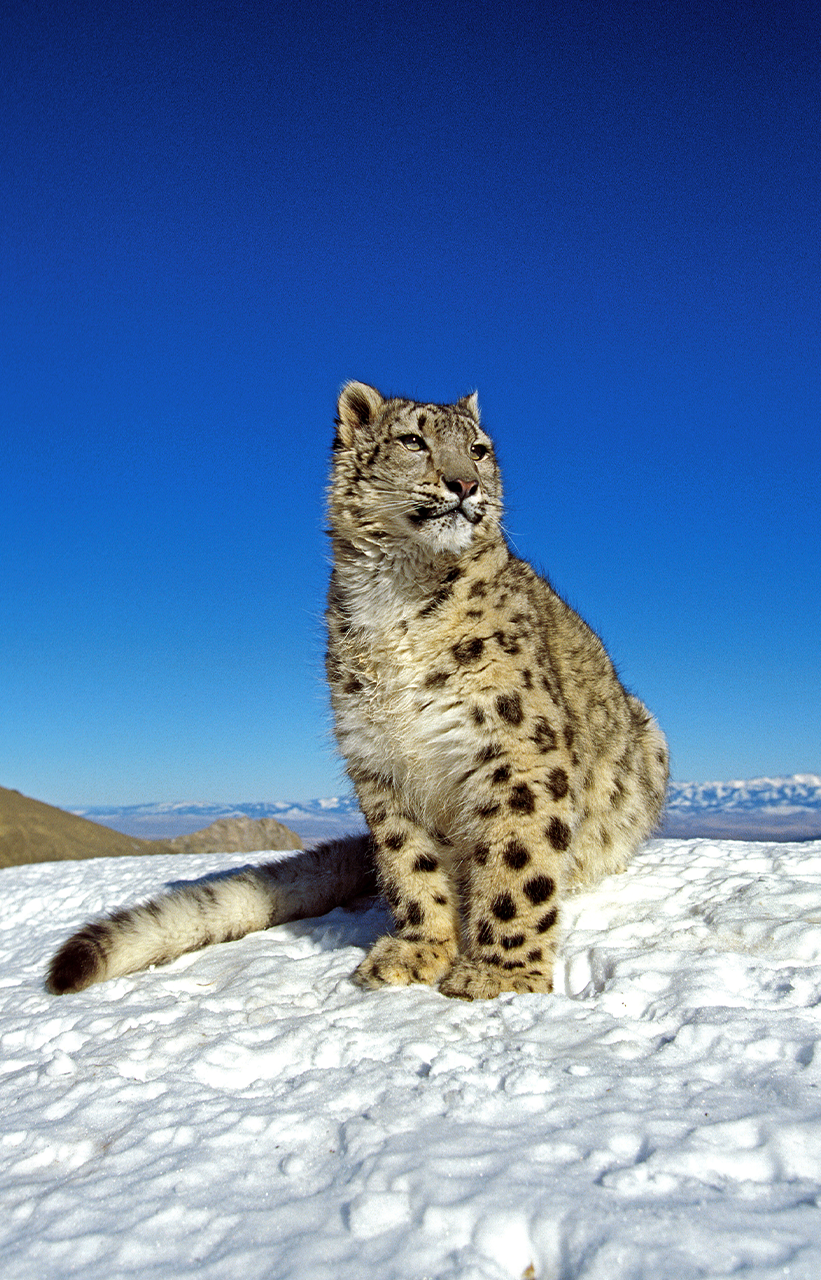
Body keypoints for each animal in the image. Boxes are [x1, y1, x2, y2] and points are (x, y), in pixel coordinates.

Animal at [46, 381, 668, 1000]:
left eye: (480, 450)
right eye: (413, 441)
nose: (465, 484)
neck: (397, 595)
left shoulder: (515, 747)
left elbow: (517, 859)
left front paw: (499, 973)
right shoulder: (379, 758)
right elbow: (408, 863)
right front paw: (417, 950)